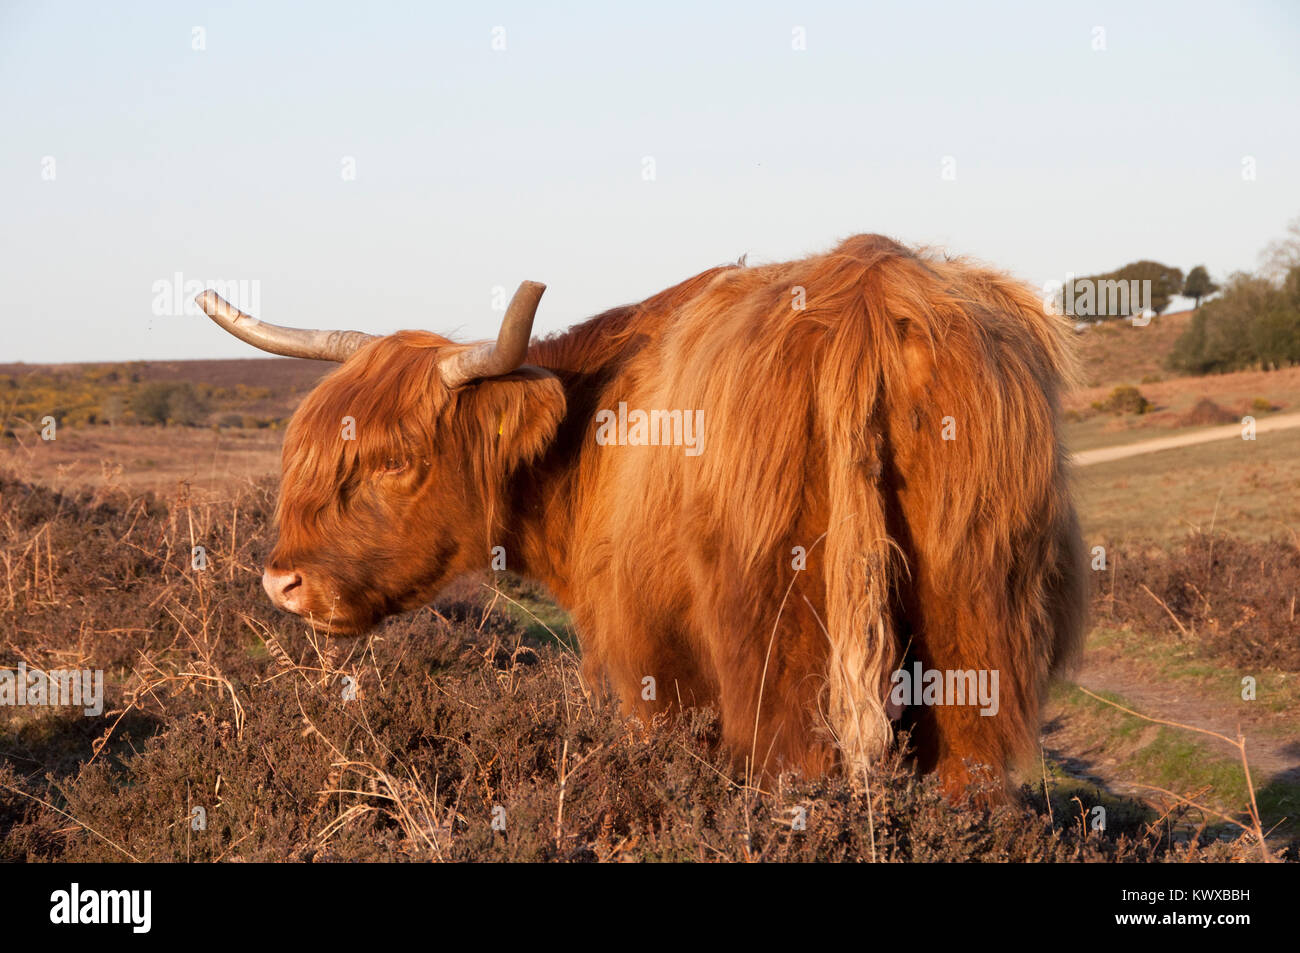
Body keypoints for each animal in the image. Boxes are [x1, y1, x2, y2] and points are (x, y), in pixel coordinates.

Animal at [197, 234, 1087, 799]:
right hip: (972, 627)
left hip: (785, 646)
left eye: (394, 461)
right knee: (970, 781)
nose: (282, 581)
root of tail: (873, 291)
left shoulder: (648, 662)